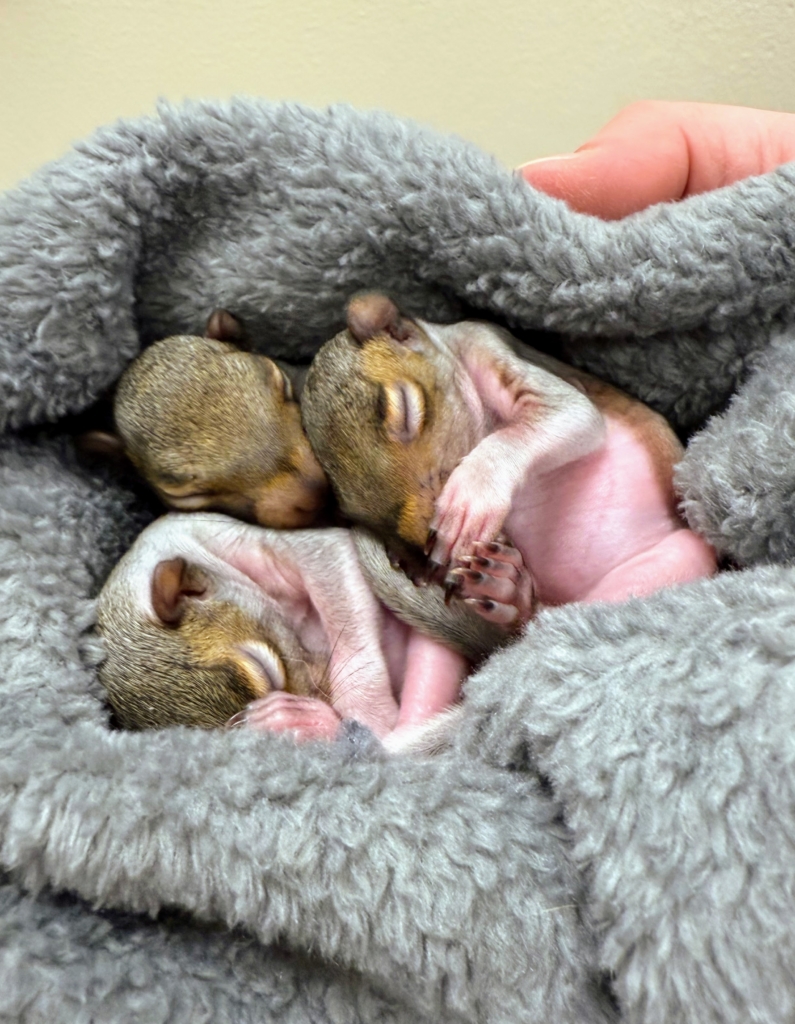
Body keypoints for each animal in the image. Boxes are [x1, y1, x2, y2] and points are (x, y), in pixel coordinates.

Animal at [300, 293, 718, 606]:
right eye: (355, 511)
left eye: (403, 409)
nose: (420, 545)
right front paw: (409, 562)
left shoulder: (486, 342)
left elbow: (570, 414)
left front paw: (468, 500)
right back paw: (508, 593)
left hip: (681, 558)